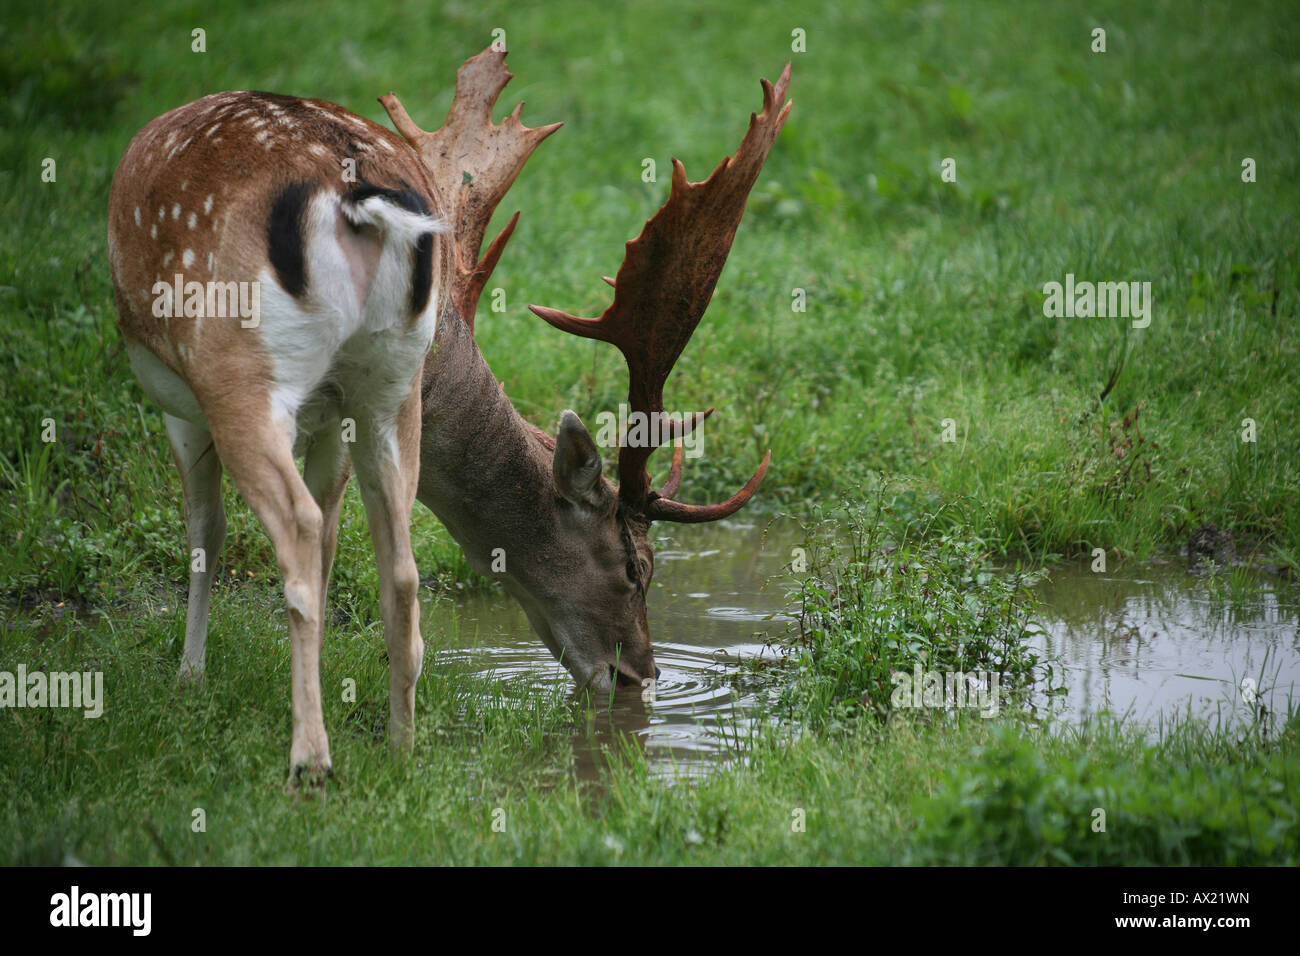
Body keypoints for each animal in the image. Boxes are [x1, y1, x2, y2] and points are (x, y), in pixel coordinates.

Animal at [107, 46, 790, 782]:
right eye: (638, 567)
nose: (640, 675)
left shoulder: (192, 400)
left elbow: (210, 529)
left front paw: (189, 679)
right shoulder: (340, 419)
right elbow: (312, 539)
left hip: (240, 366)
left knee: (297, 526)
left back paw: (311, 760)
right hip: (377, 387)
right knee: (396, 569)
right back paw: (397, 747)